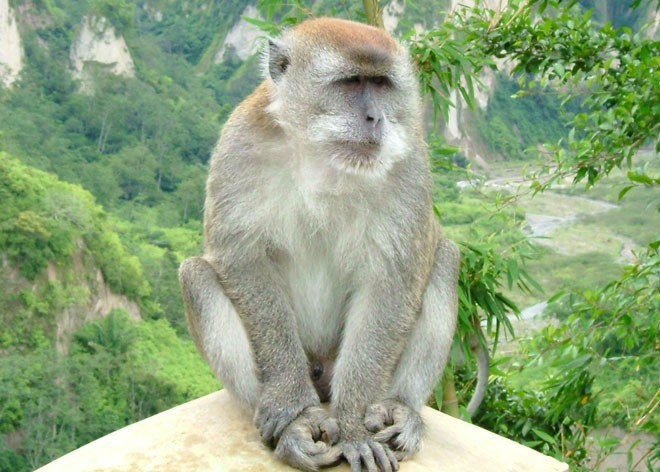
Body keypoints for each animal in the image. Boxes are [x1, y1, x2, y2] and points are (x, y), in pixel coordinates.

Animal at [178, 17, 459, 472]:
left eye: (380, 84)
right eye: (350, 82)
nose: (375, 117)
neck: (320, 153)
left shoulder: (411, 162)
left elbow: (391, 281)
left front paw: (354, 424)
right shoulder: (240, 143)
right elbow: (242, 259)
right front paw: (290, 403)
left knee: (447, 259)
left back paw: (401, 409)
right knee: (196, 274)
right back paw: (296, 424)